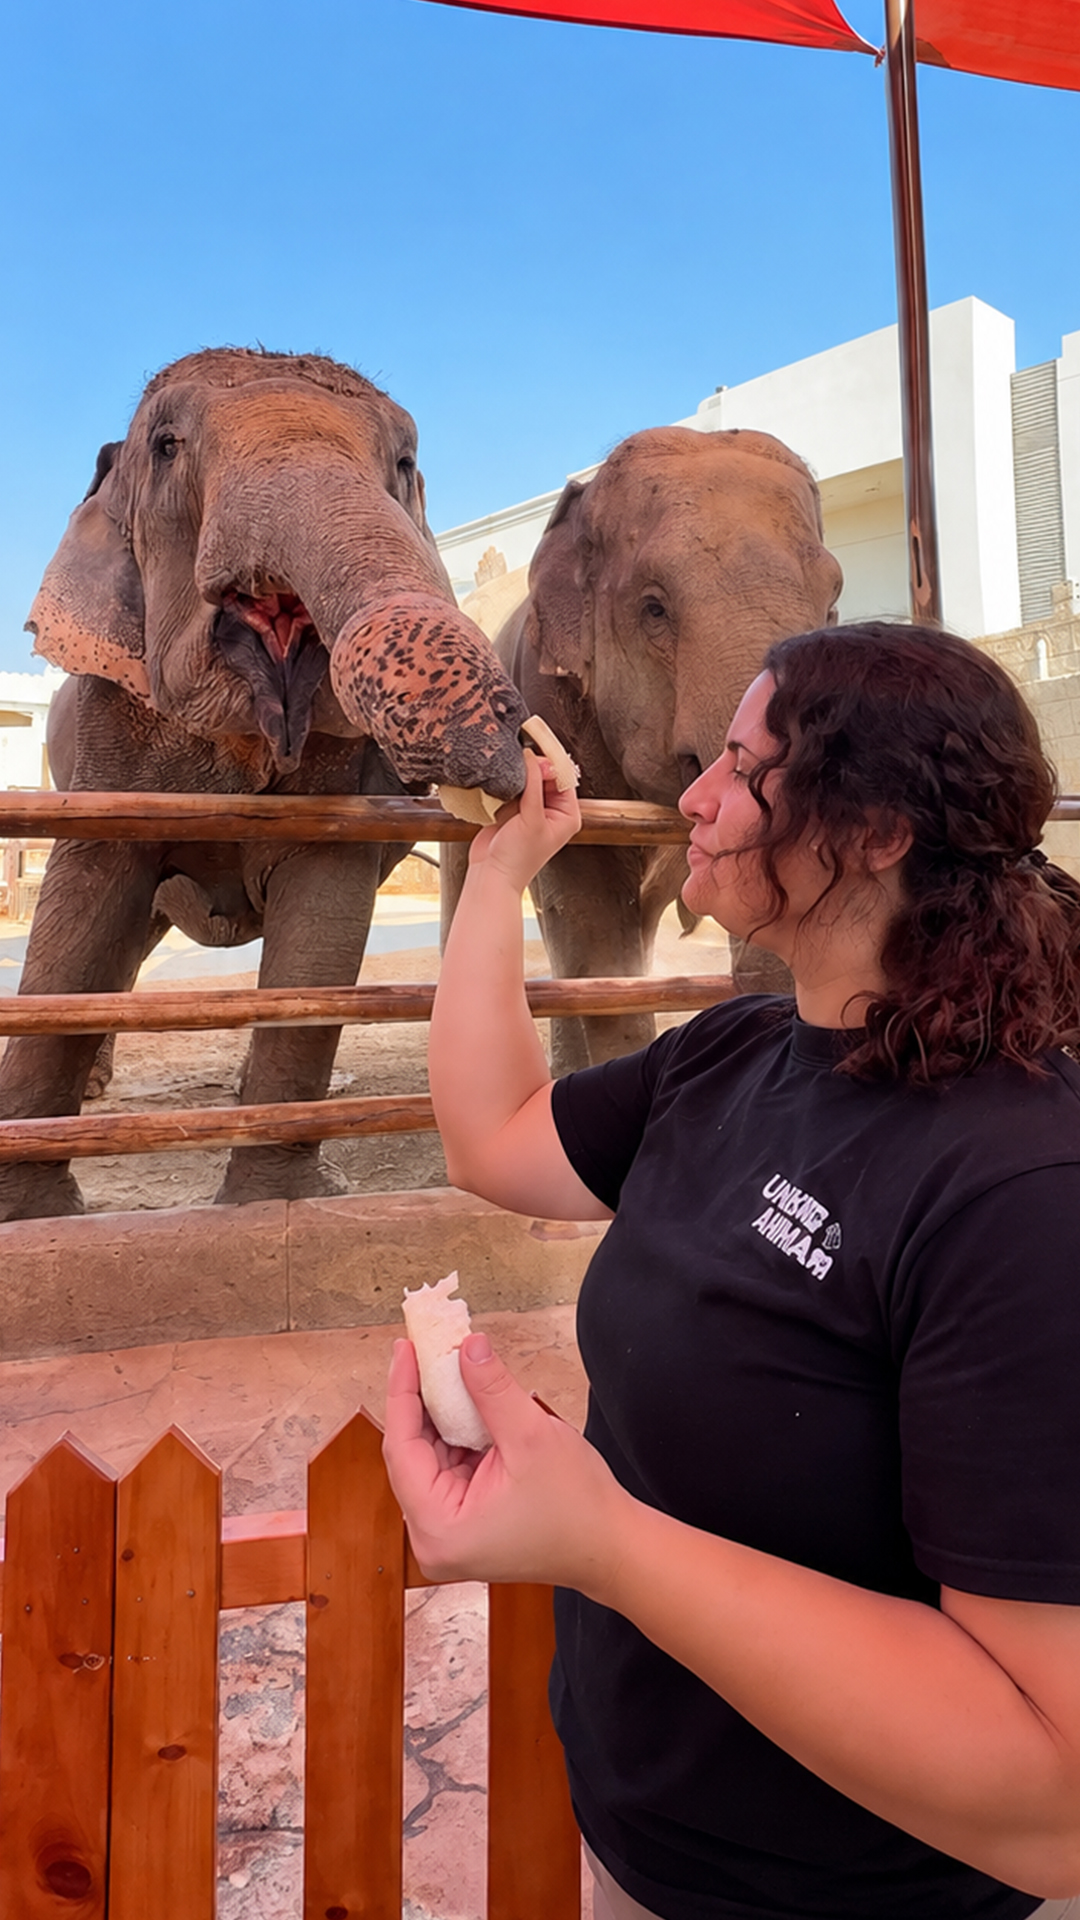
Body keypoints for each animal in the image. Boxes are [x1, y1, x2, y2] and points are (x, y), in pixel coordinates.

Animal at [0, 346, 528, 1222]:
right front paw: (34, 1216)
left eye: (405, 463)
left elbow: (320, 922)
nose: (509, 758)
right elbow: (81, 914)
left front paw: (275, 1202)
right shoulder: (107, 738)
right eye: (167, 446)